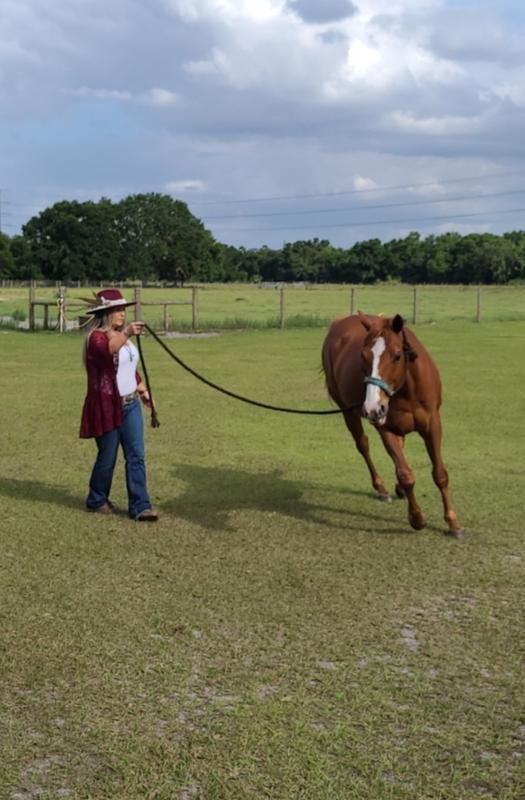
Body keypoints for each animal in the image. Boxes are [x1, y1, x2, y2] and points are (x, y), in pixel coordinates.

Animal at [321, 311, 463, 537]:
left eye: (397, 356)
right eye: (363, 356)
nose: (372, 407)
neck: (408, 389)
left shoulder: (433, 424)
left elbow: (440, 474)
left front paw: (453, 522)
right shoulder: (385, 427)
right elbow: (406, 474)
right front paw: (417, 518)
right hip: (348, 411)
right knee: (363, 445)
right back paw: (381, 488)